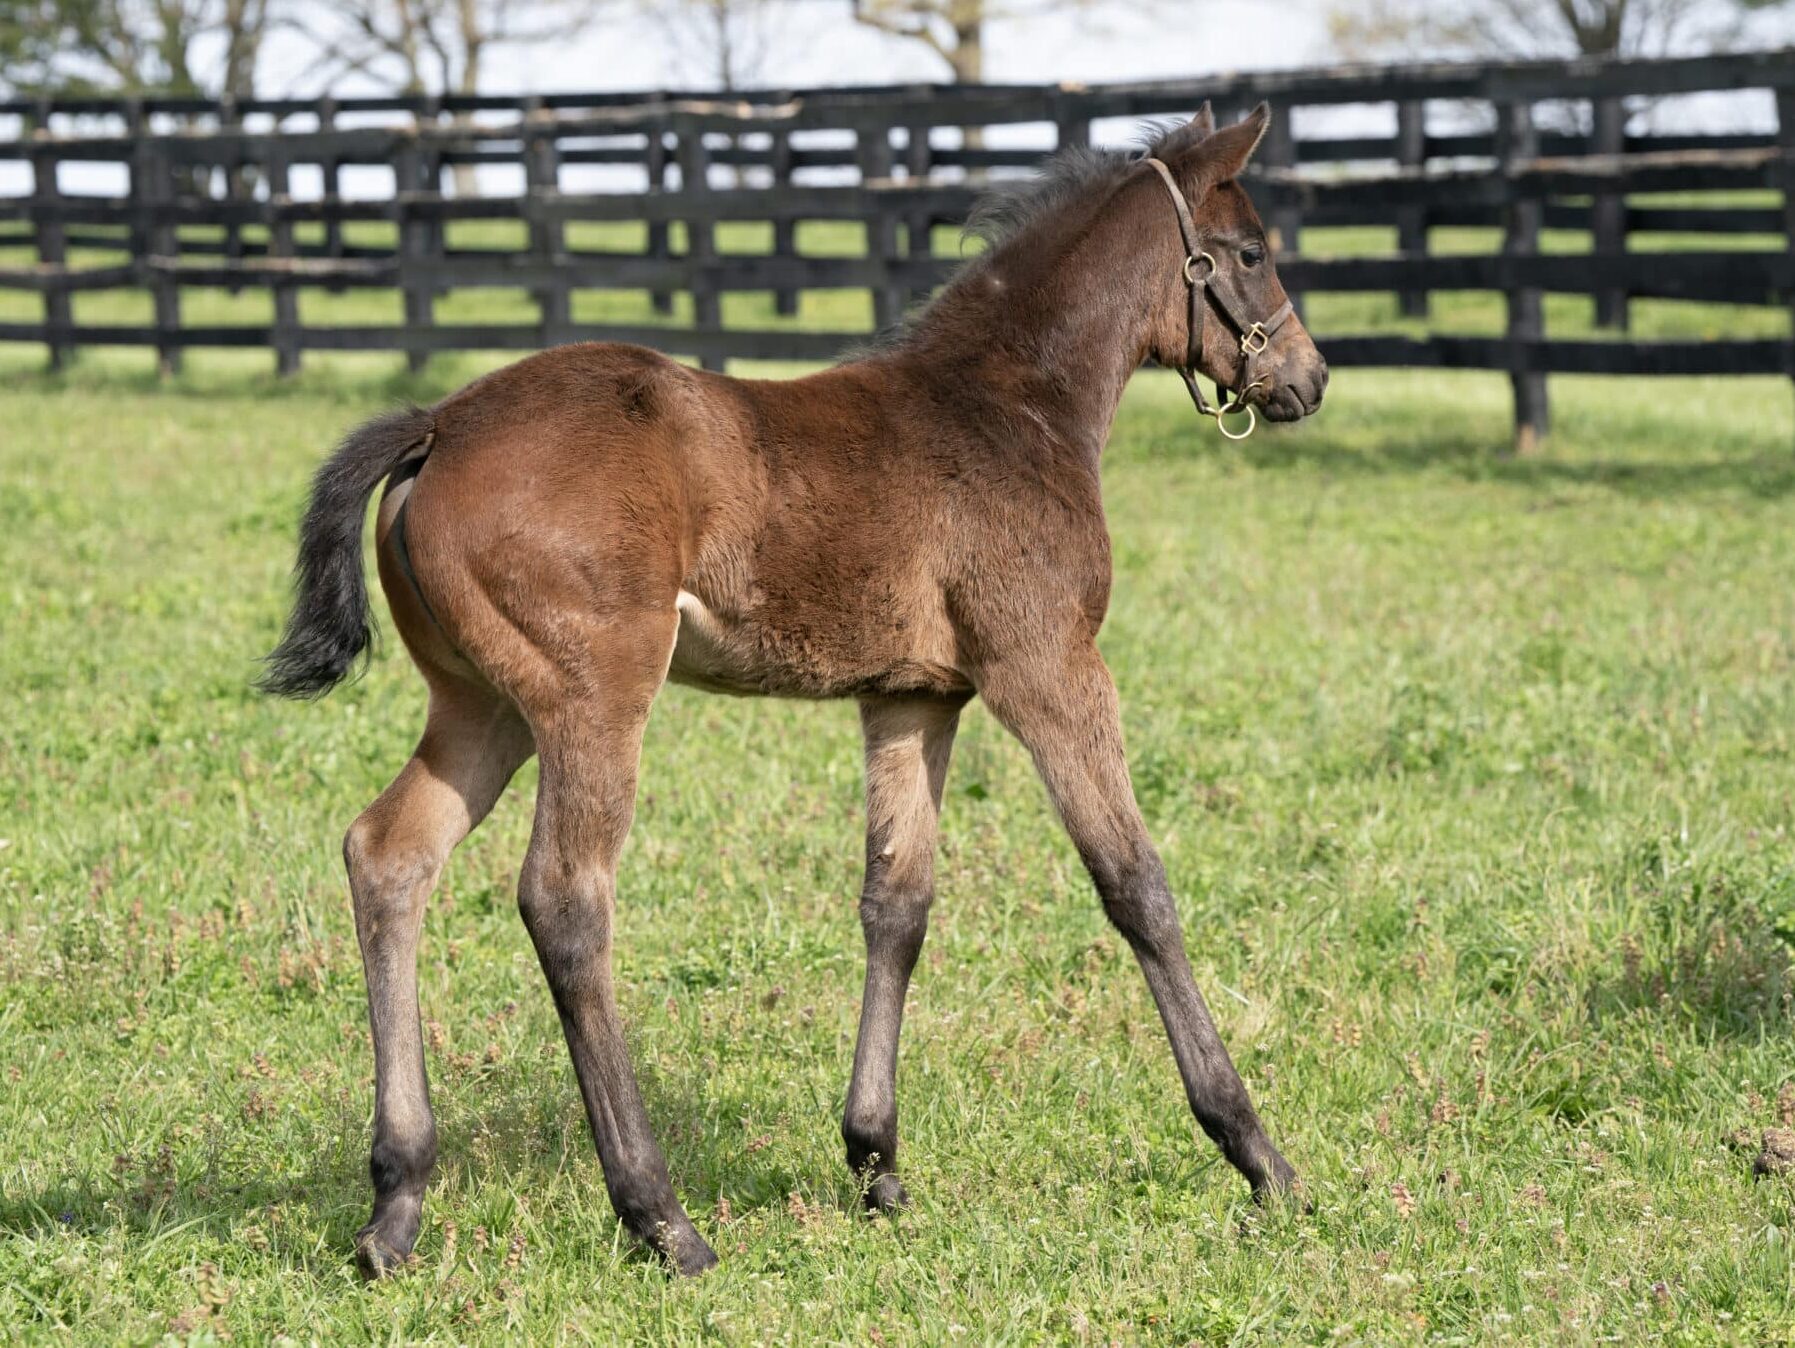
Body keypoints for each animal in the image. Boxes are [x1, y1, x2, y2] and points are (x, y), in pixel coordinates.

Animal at [260, 102, 1328, 1278]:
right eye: (1249, 251)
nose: (1308, 378)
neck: (1008, 406)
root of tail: (438, 426)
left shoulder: (913, 696)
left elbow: (896, 902)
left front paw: (876, 1164)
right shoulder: (1045, 666)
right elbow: (1135, 883)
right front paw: (1256, 1152)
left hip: (483, 705)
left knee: (388, 854)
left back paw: (395, 1206)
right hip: (592, 698)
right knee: (565, 897)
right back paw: (659, 1214)